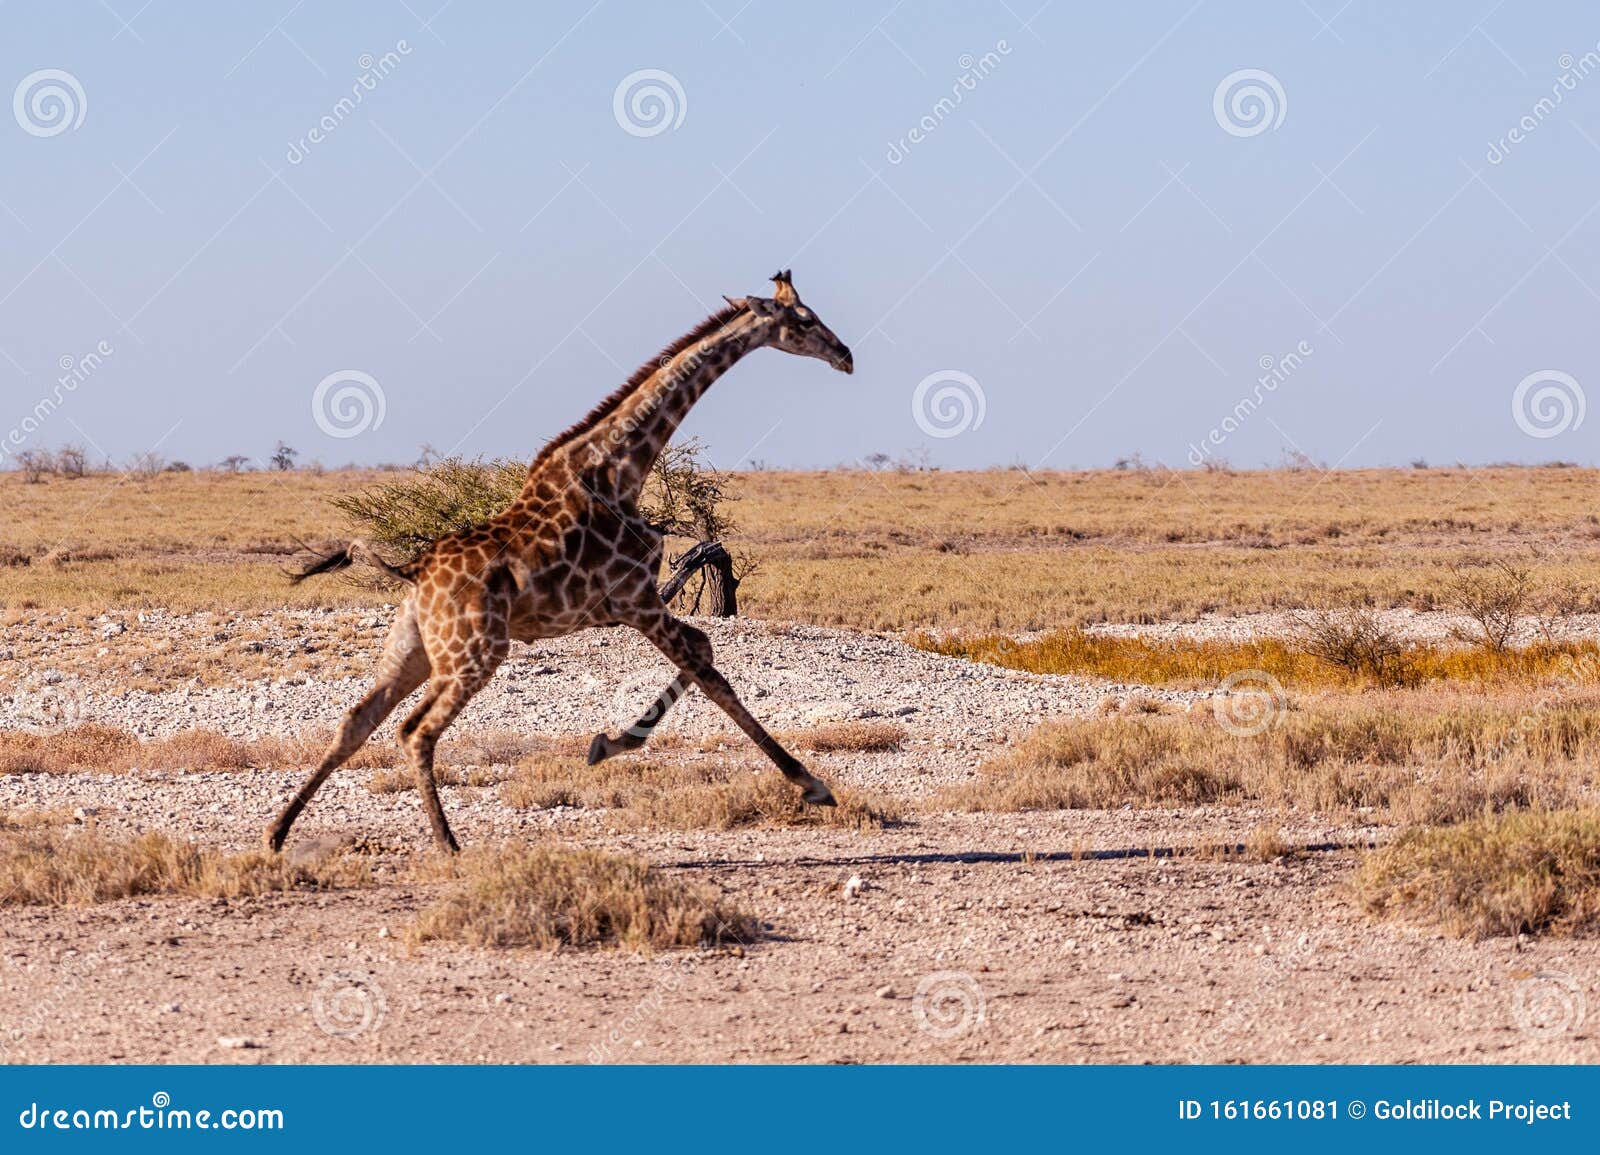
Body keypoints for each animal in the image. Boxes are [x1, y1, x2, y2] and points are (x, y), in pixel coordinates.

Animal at [266, 271, 854, 853]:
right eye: (805, 319)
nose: (845, 355)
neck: (619, 472)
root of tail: (414, 571)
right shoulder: (637, 599)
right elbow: (711, 674)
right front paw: (811, 784)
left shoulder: (624, 607)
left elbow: (704, 654)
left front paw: (607, 744)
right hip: (475, 649)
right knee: (416, 731)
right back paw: (447, 844)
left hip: (414, 646)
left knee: (357, 719)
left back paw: (278, 832)